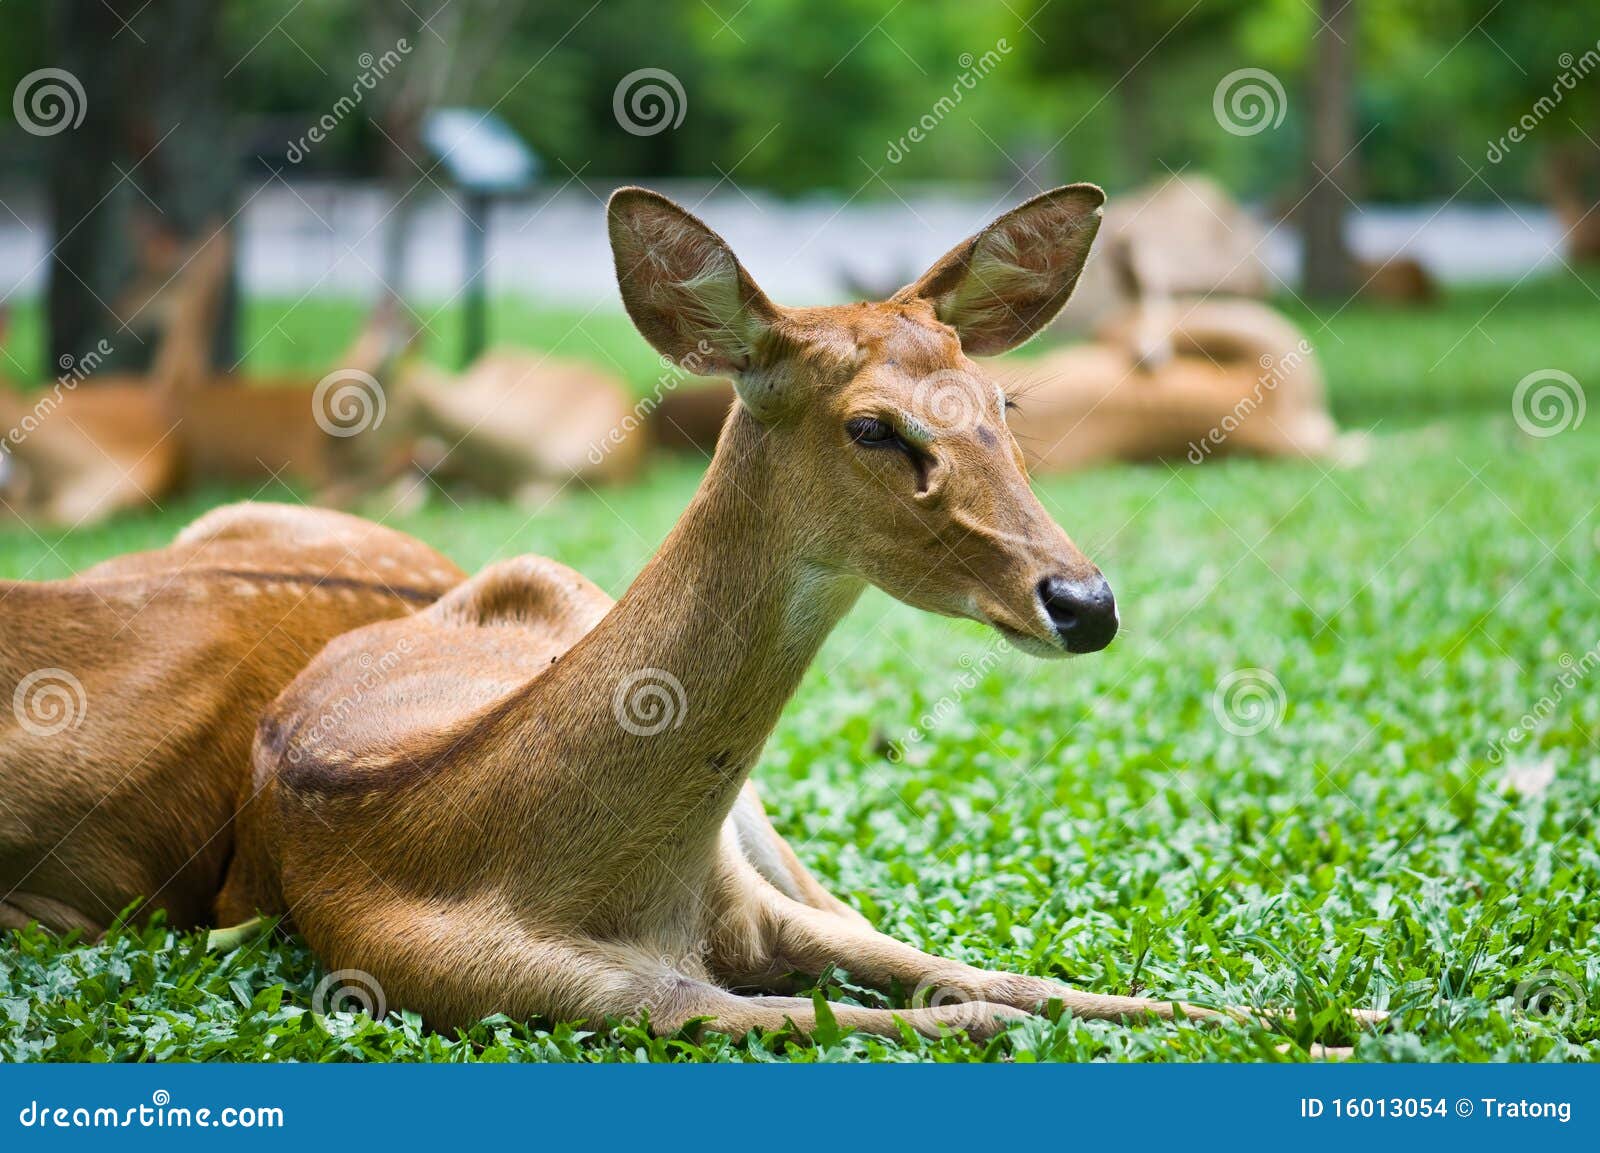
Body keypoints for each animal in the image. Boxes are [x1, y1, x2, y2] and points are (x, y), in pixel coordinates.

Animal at [215, 186, 1383, 1045]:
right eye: (873, 427)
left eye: (1002, 403)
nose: (1084, 601)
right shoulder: (544, 991)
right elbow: (959, 1016)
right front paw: (1327, 1023)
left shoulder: (755, 900)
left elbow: (1010, 980)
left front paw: (1337, 1013)